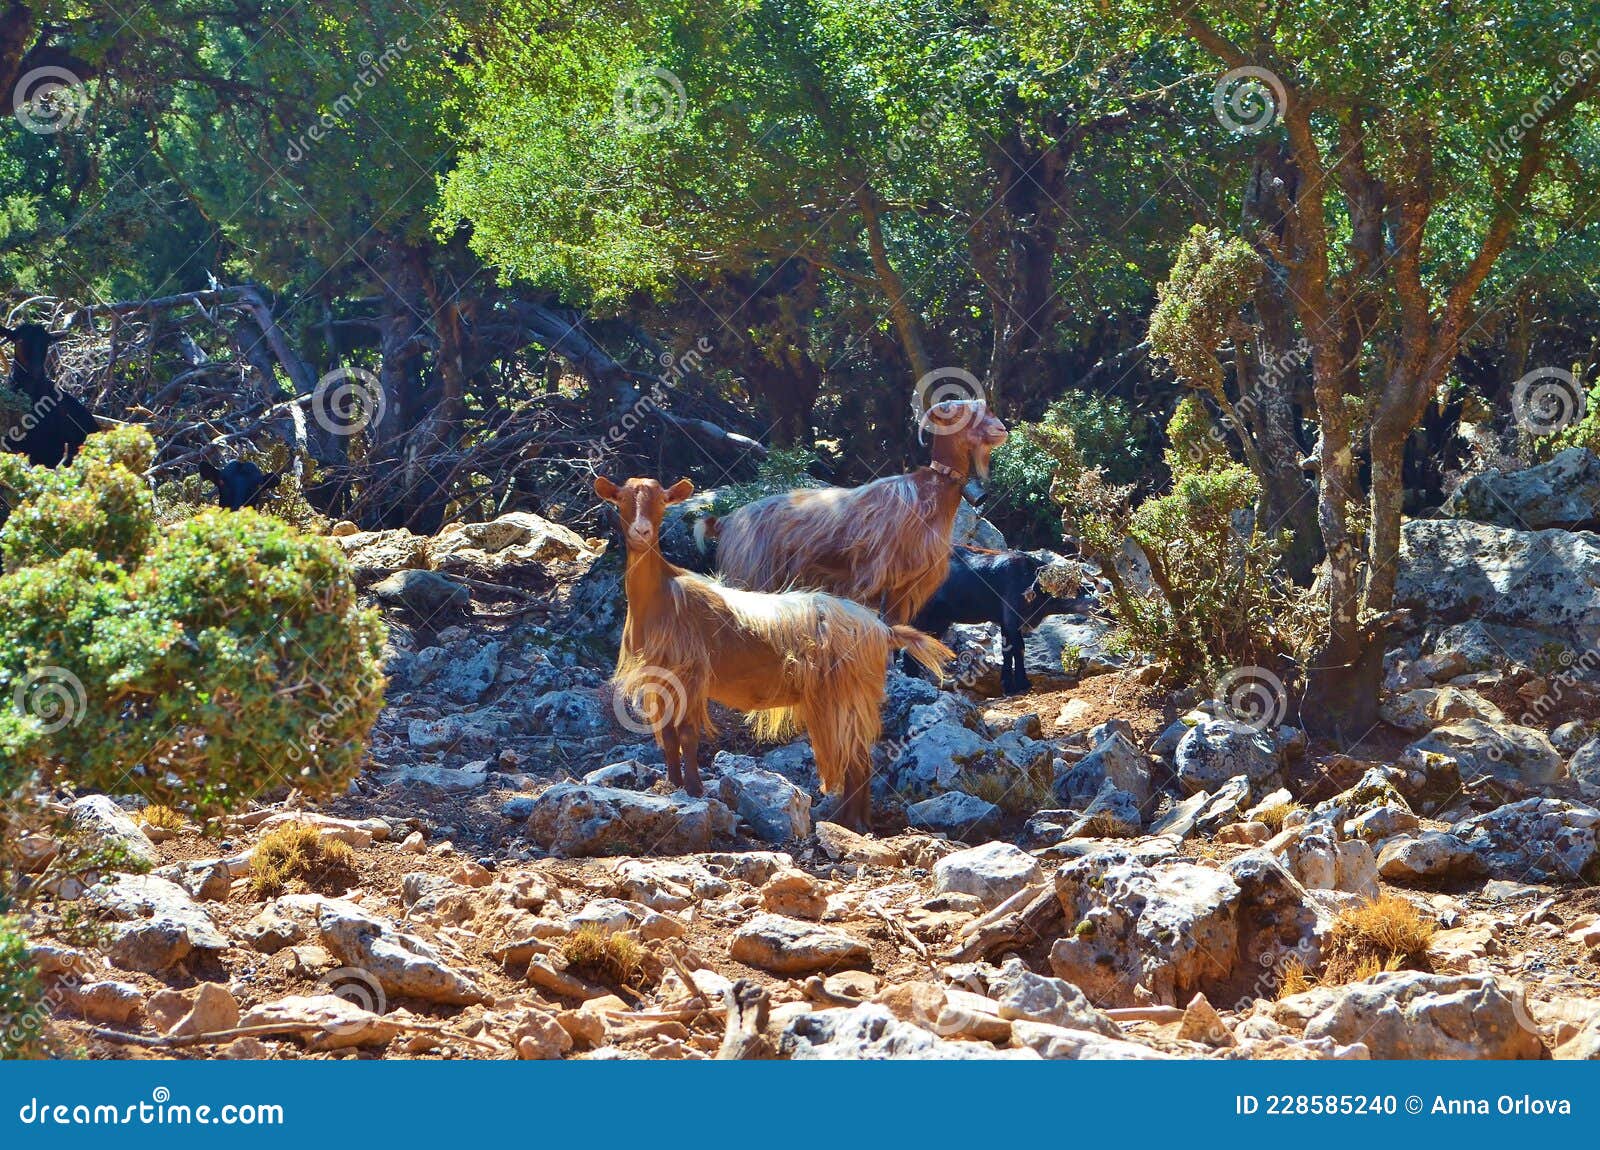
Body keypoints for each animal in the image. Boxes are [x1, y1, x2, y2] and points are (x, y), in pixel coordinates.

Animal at [596, 475, 952, 831]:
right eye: (621, 500)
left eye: (661, 502)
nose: (642, 532)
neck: (663, 596)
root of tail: (881, 629)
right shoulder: (660, 680)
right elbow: (669, 736)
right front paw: (673, 785)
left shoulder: (691, 676)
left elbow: (687, 733)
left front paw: (695, 791)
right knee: (859, 758)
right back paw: (853, 821)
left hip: (846, 694)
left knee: (858, 759)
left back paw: (851, 823)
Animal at [710, 399, 1009, 623]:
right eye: (964, 413)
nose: (1002, 429)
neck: (928, 491)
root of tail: (726, 520)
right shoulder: (870, 578)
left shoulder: (903, 588)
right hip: (750, 574)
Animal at [910, 547, 1099, 694]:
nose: (1102, 608)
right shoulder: (1011, 619)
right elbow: (1016, 649)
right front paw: (1019, 684)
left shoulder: (1007, 623)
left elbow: (1010, 651)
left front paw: (1011, 684)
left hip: (939, 621)